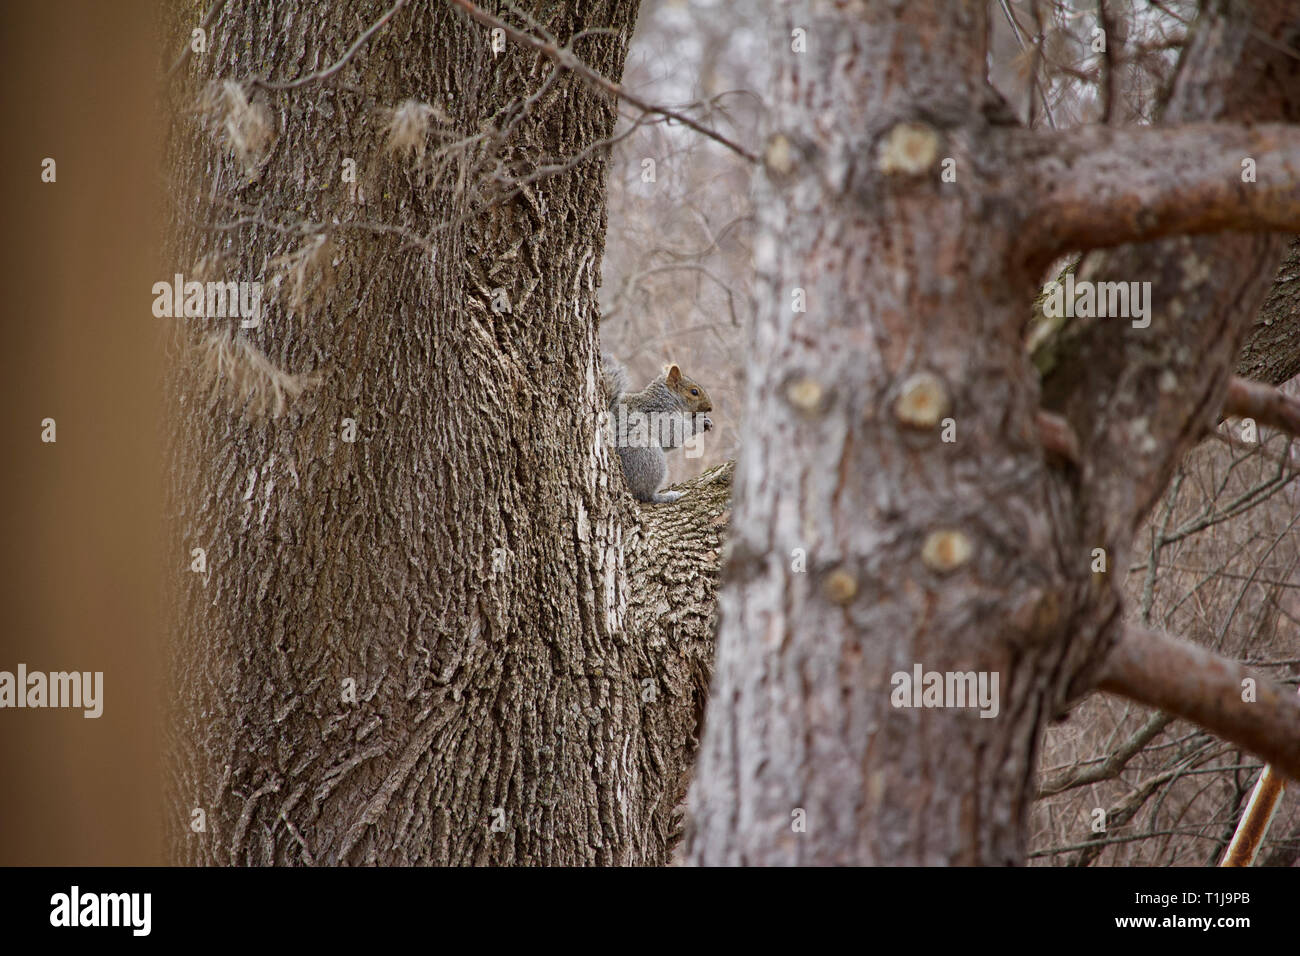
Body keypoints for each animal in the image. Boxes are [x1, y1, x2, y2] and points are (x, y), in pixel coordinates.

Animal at [602, 354, 713, 503]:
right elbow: (673, 435)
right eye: (694, 391)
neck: (665, 397)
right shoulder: (660, 415)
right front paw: (700, 422)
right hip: (646, 457)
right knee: (645, 495)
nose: (710, 407)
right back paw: (664, 496)